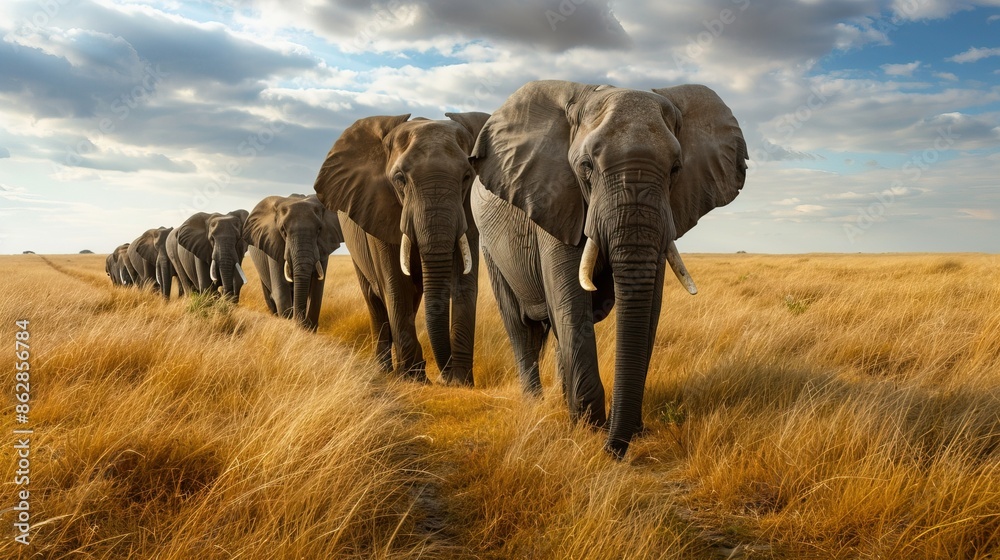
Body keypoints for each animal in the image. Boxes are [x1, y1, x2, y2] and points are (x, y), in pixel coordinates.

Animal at [243, 194, 343, 331]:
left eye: (319, 229)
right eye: (283, 230)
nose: (297, 322)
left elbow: (316, 293)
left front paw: (307, 329)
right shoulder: (273, 242)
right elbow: (281, 292)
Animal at [314, 112, 489, 384]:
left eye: (466, 177)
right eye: (399, 180)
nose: (444, 377)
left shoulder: (467, 213)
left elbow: (464, 284)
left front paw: (461, 383)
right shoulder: (377, 209)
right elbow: (396, 284)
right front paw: (413, 378)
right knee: (376, 300)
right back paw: (387, 369)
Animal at [470, 81, 748, 458]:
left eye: (676, 169)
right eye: (586, 166)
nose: (613, 451)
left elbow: (649, 307)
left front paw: (627, 428)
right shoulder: (557, 198)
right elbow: (571, 304)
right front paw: (588, 429)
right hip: (489, 246)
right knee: (519, 326)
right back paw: (536, 404)